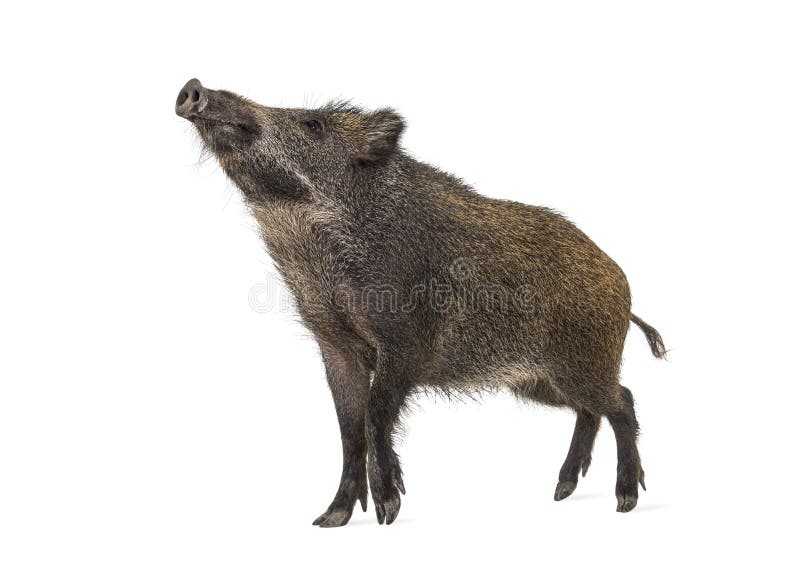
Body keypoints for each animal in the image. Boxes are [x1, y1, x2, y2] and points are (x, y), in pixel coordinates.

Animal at [175, 78, 666, 527]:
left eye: (313, 124)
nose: (194, 88)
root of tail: (622, 288)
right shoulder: (335, 345)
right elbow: (348, 428)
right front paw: (330, 519)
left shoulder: (407, 341)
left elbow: (375, 413)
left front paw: (388, 509)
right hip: (538, 381)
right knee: (592, 410)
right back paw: (562, 490)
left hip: (579, 362)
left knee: (622, 401)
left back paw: (625, 500)